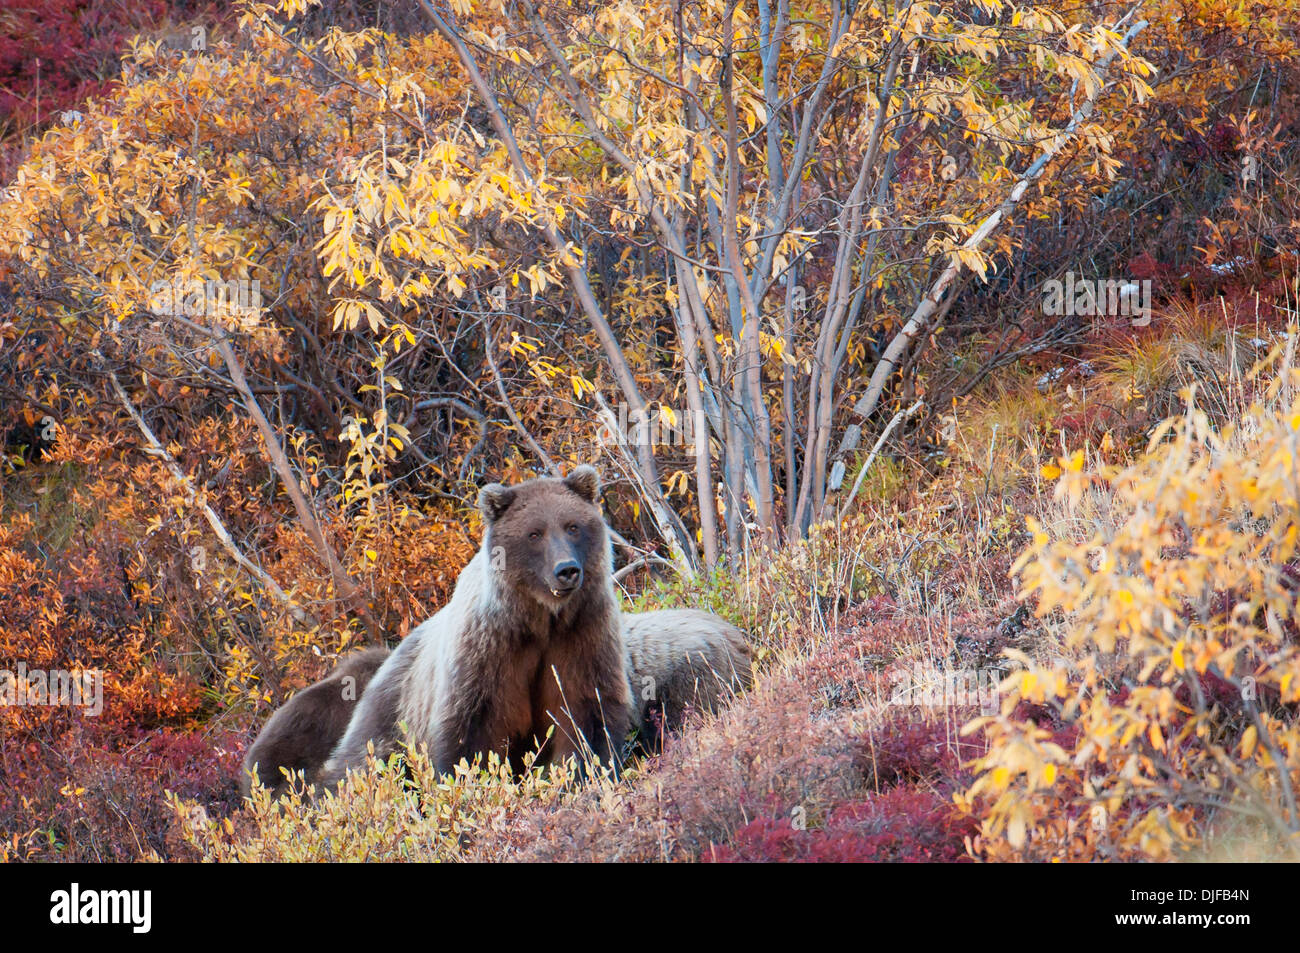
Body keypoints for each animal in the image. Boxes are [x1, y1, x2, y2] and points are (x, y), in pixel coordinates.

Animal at [319, 465, 631, 785]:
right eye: (534, 533)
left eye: (573, 526)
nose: (566, 570)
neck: (540, 618)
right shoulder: (487, 647)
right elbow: (470, 730)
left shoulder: (582, 631)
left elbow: (587, 709)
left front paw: (585, 772)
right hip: (394, 710)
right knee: (363, 761)